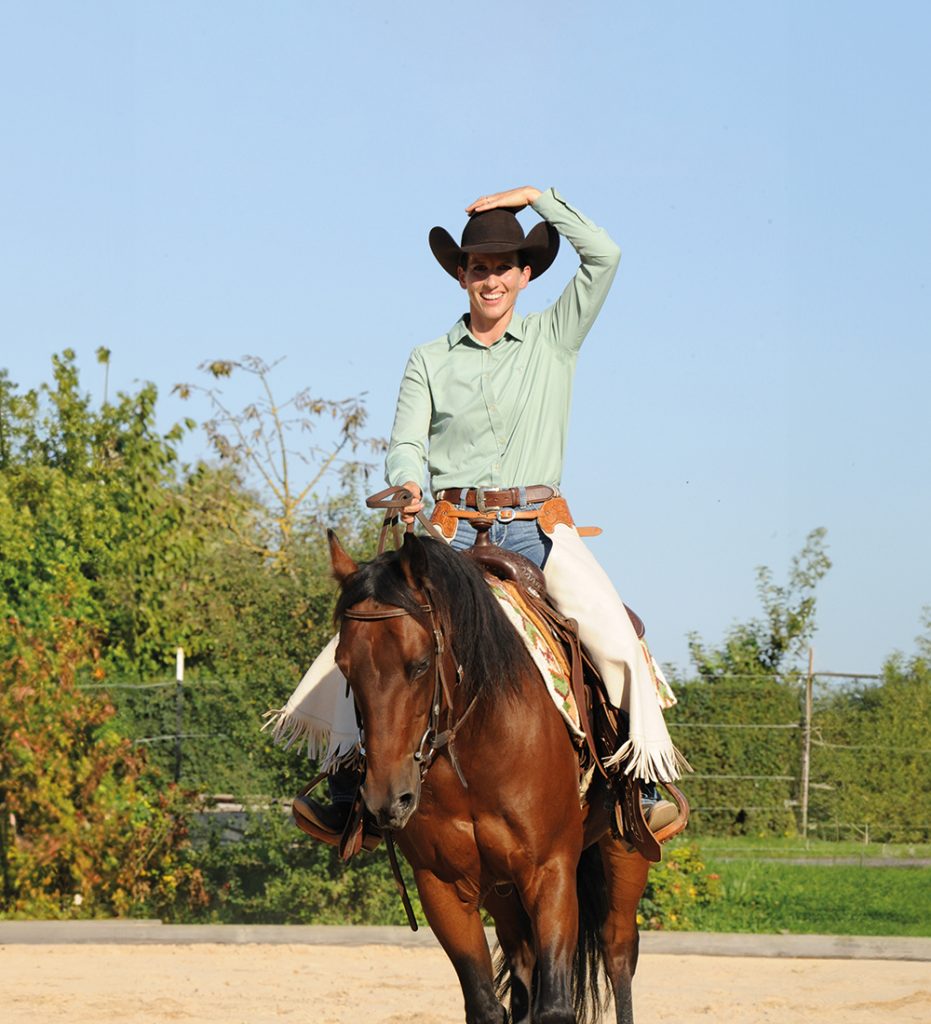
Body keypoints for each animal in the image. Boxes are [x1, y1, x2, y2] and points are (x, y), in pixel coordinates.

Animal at [329, 528, 654, 1024]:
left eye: (419, 663)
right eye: (344, 666)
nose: (388, 799)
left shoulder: (551, 872)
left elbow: (554, 1006)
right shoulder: (441, 885)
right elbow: (485, 1004)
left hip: (623, 849)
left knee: (618, 953)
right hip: (503, 892)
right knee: (524, 962)